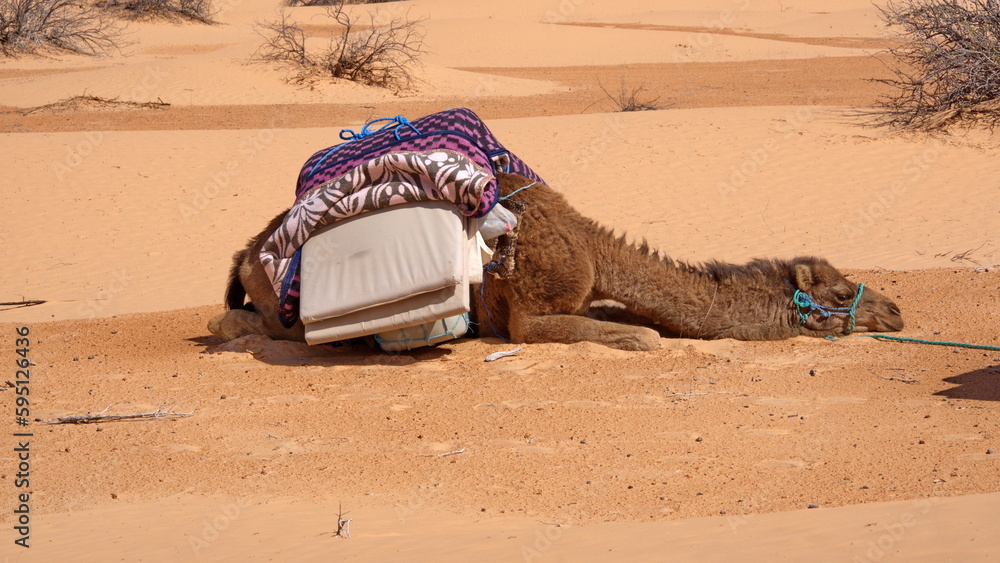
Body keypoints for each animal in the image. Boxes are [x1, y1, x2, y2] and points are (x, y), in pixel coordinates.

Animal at [208, 173, 904, 350]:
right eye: (836, 293)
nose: (896, 310)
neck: (595, 253)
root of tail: (247, 250)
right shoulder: (529, 316)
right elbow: (642, 336)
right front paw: (642, 337)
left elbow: (613, 318)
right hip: (278, 303)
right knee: (245, 323)